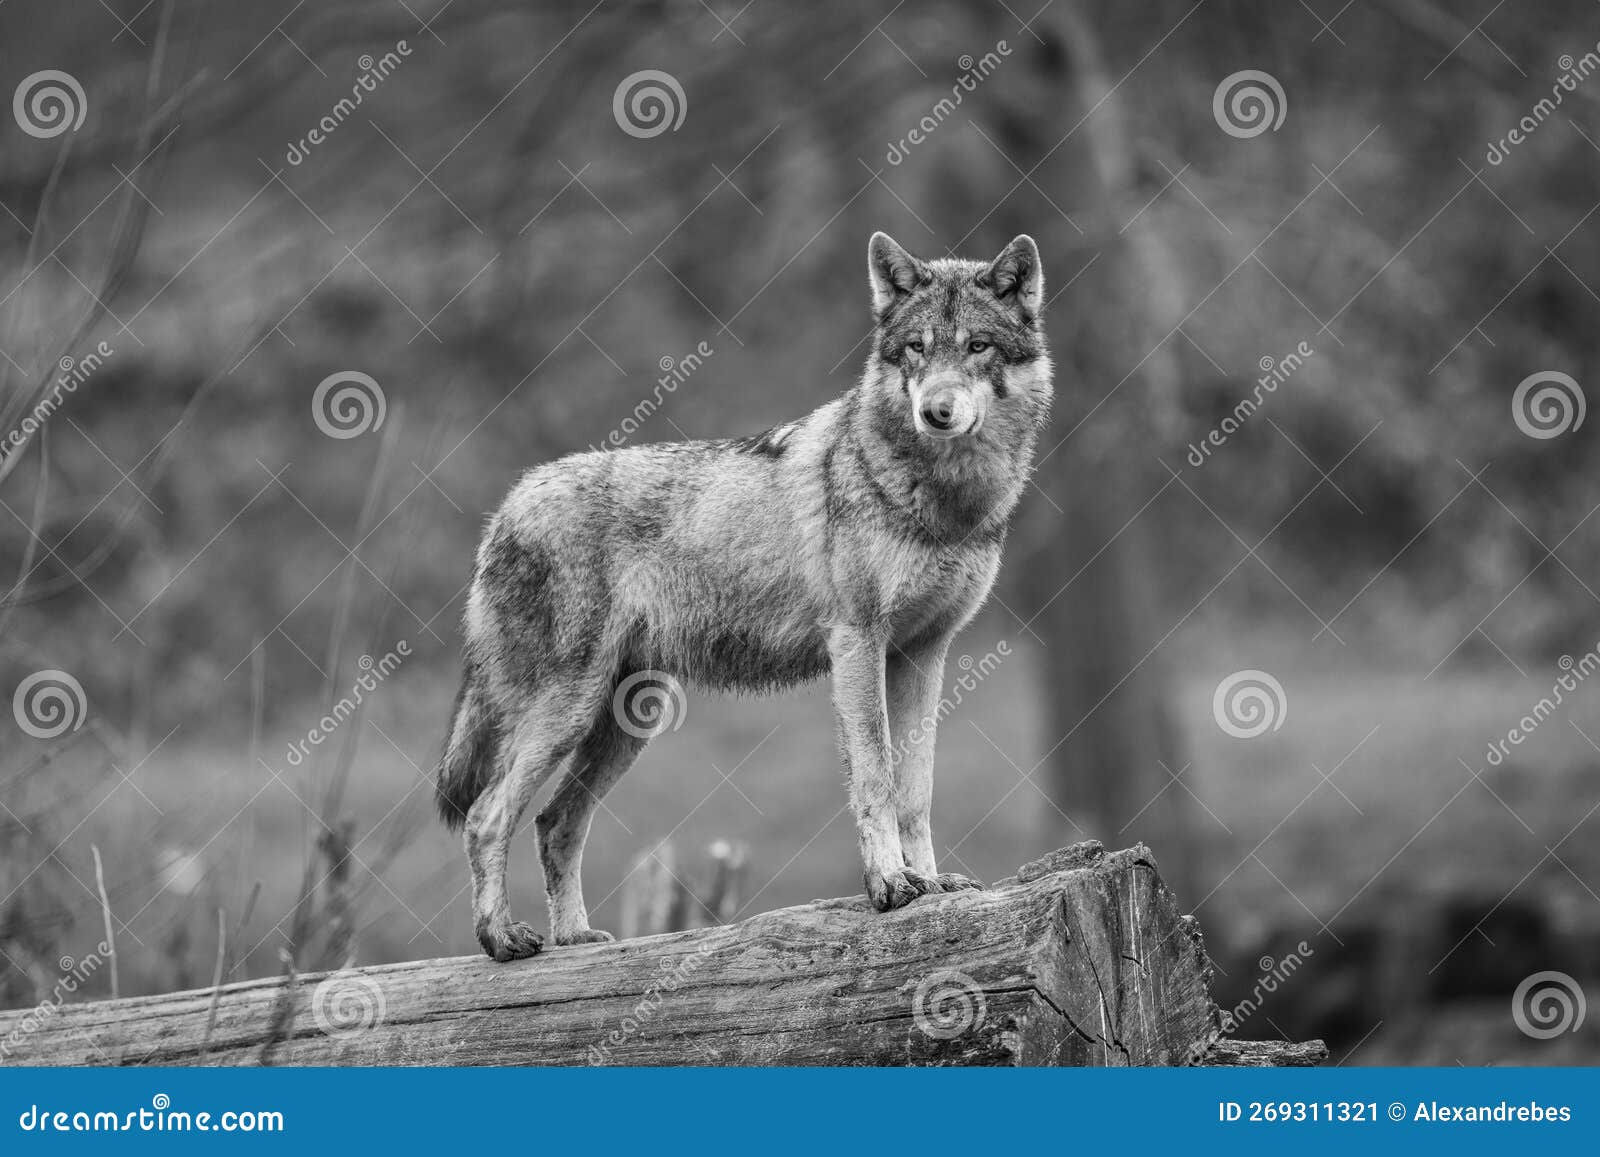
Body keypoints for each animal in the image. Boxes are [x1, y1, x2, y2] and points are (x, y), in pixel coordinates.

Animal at [437, 232, 1052, 961]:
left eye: (978, 346)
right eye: (916, 349)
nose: (937, 411)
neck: (941, 501)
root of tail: (508, 503)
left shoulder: (926, 654)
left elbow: (915, 790)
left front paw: (930, 882)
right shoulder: (857, 643)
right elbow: (875, 778)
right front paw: (889, 884)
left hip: (627, 720)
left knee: (555, 822)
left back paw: (577, 938)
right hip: (571, 708)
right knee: (485, 815)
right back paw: (502, 937)